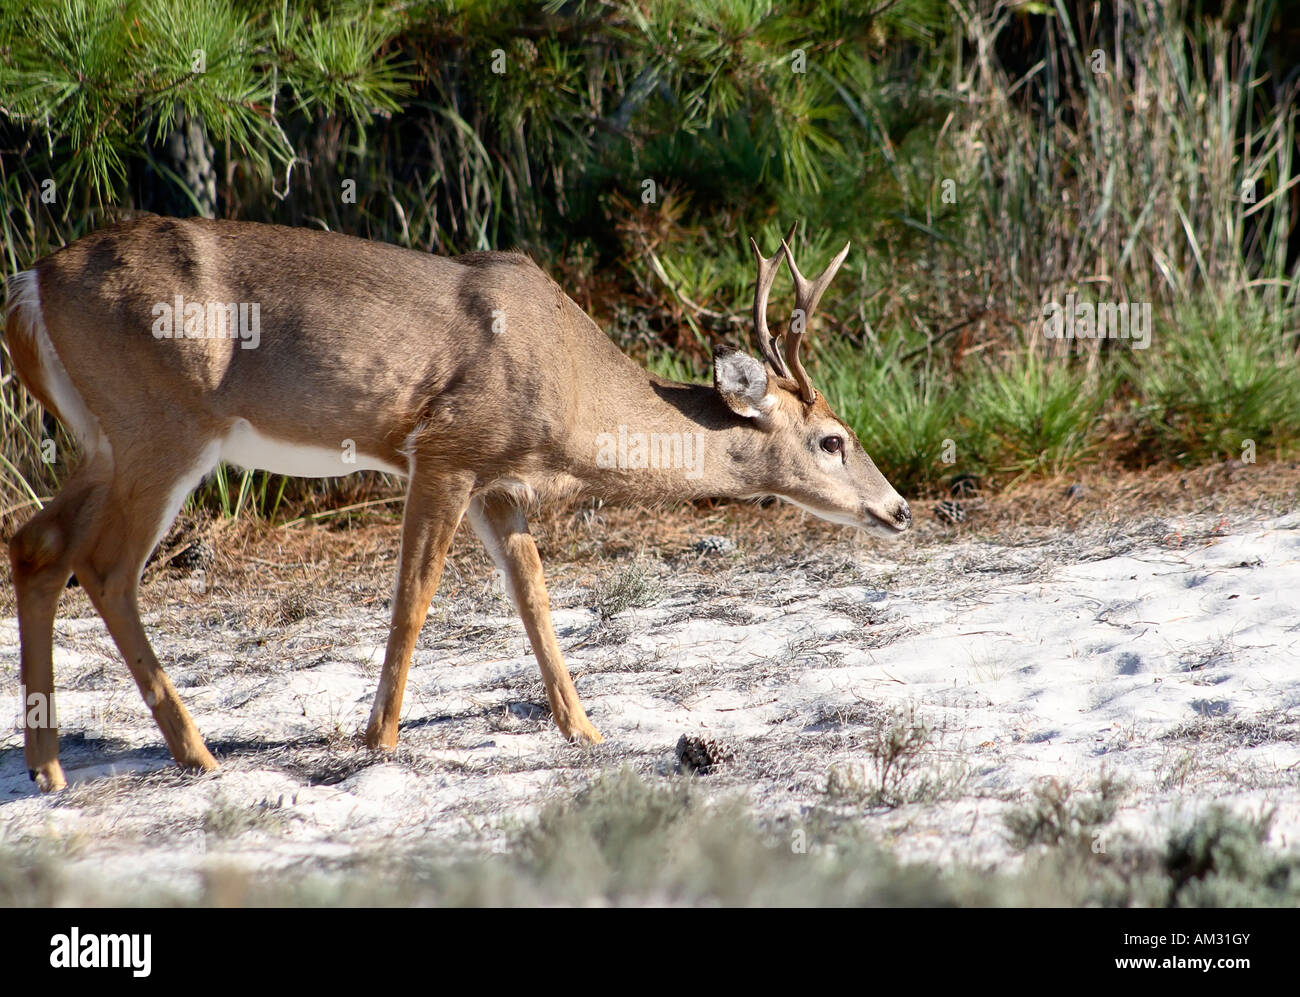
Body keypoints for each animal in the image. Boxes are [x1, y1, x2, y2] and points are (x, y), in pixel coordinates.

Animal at [4, 216, 911, 792]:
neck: (574, 391)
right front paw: (379, 738)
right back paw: (194, 753)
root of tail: (27, 284)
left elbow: (534, 597)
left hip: (104, 439)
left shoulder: (500, 482)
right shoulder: (446, 446)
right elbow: (414, 596)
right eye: (833, 439)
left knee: (36, 543)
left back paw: (49, 766)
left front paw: (584, 728)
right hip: (163, 423)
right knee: (105, 564)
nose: (900, 508)